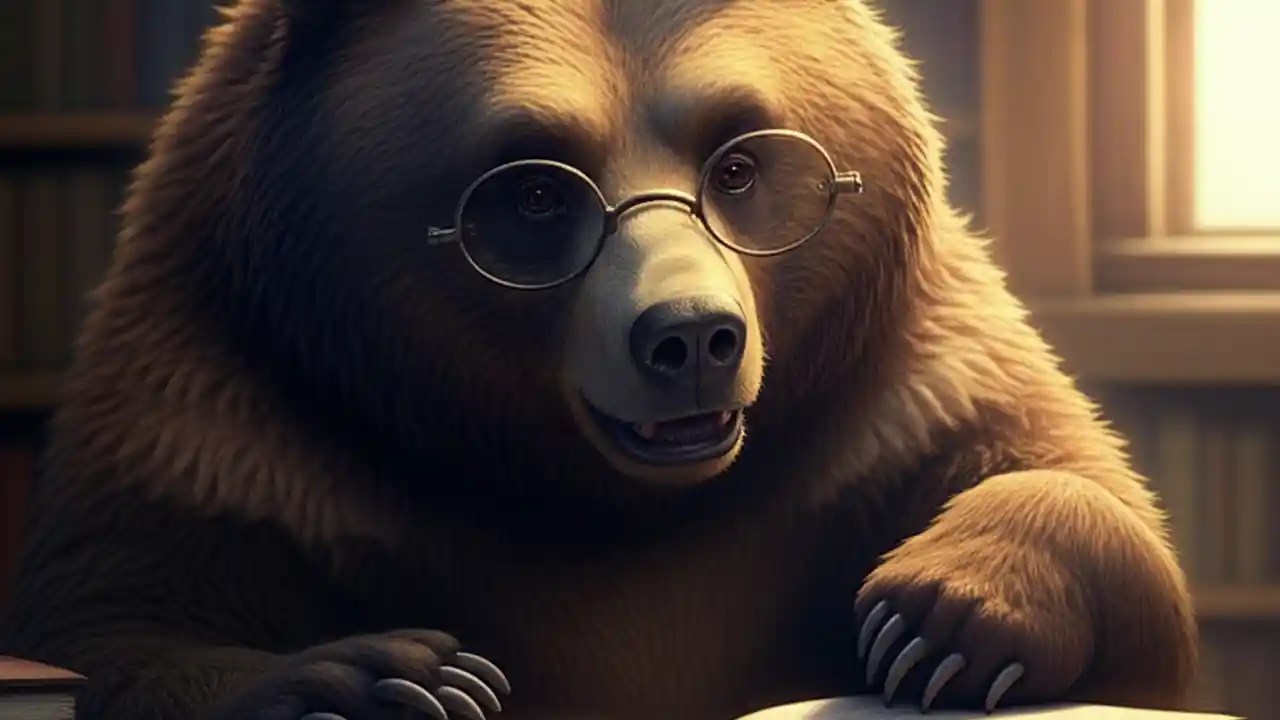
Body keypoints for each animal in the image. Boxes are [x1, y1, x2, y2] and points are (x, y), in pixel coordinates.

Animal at [0, 0, 1198, 719]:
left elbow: (1108, 533)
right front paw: (389, 675)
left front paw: (936, 622)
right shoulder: (235, 417)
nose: (691, 337)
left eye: (740, 159)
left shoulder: (885, 404)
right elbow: (116, 621)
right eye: (535, 188)